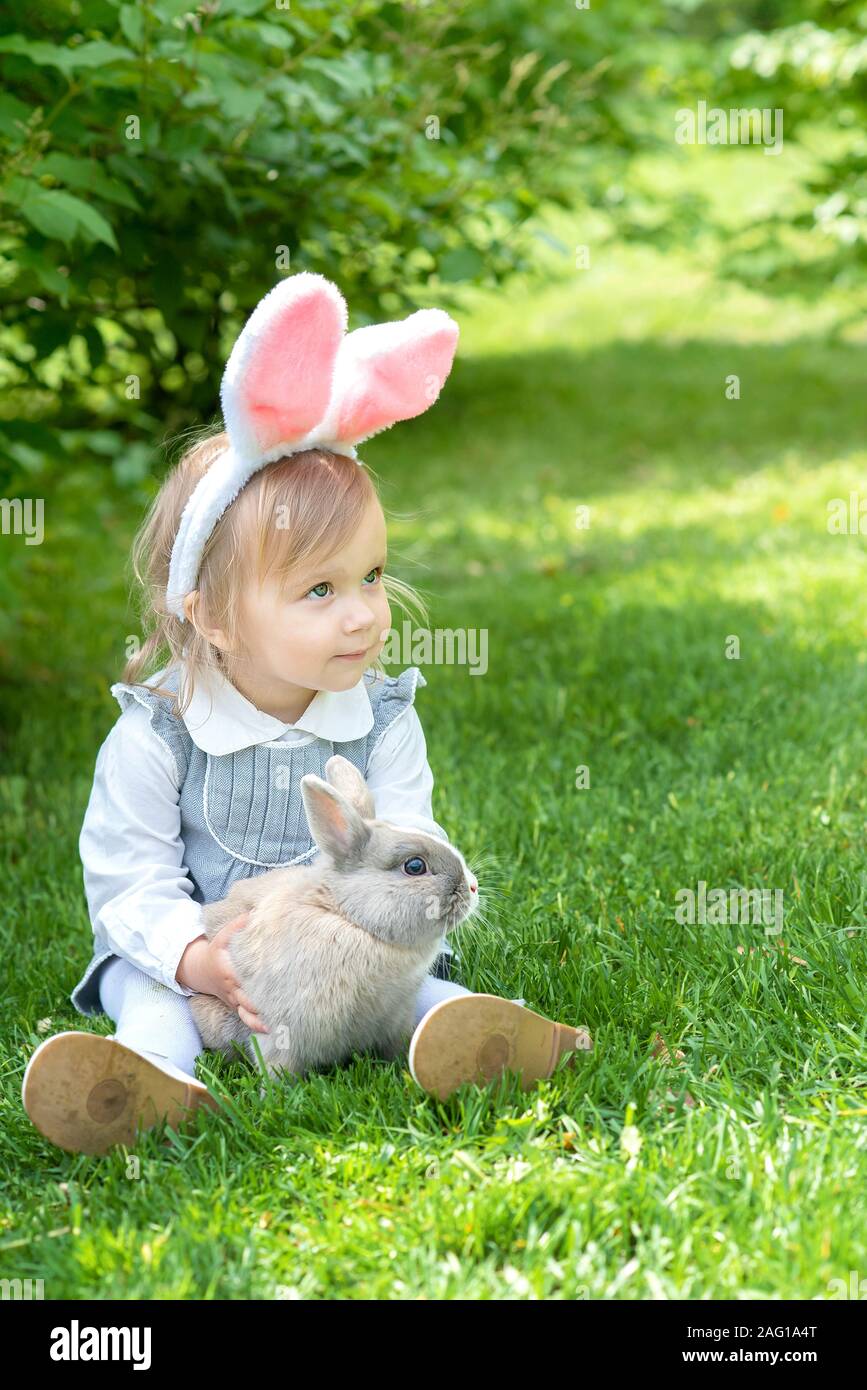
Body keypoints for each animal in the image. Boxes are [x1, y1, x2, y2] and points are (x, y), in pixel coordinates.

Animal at [188, 754, 478, 1081]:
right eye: (415, 866)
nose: (473, 887)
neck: (349, 918)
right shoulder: (280, 1032)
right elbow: (278, 1067)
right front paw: (276, 1091)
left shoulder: (396, 1018)